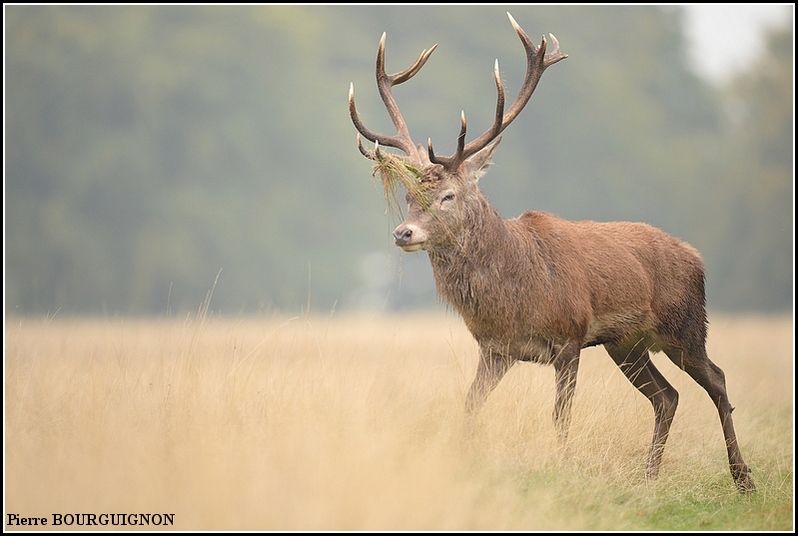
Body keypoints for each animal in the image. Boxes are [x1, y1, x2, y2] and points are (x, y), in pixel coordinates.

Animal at [347, 12, 755, 493]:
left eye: (447, 196)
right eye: (409, 195)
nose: (403, 232)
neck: (514, 296)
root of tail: (697, 259)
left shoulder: (569, 338)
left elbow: (560, 416)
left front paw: (562, 468)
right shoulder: (497, 349)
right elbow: (469, 405)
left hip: (685, 325)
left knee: (717, 380)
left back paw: (742, 477)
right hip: (627, 344)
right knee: (667, 395)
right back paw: (649, 478)